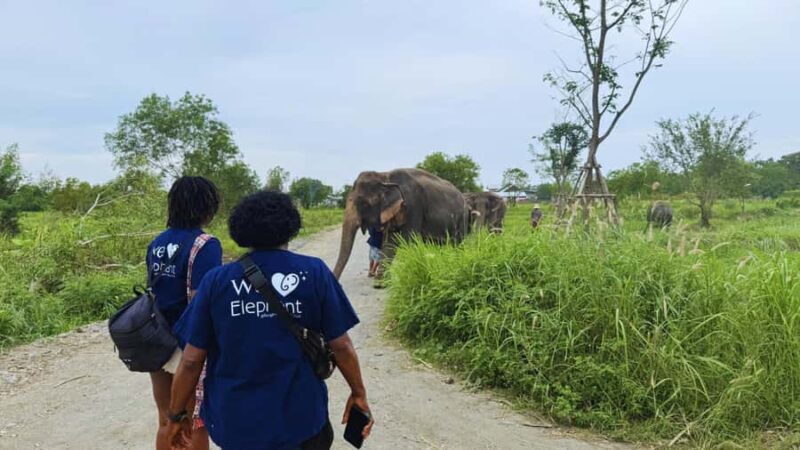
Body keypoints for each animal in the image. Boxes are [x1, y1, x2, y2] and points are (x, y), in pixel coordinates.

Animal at [333, 168, 470, 279]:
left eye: (364, 204)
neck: (385, 176)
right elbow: (389, 240)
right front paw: (380, 281)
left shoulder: (413, 205)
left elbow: (409, 239)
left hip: (462, 219)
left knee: (458, 243)